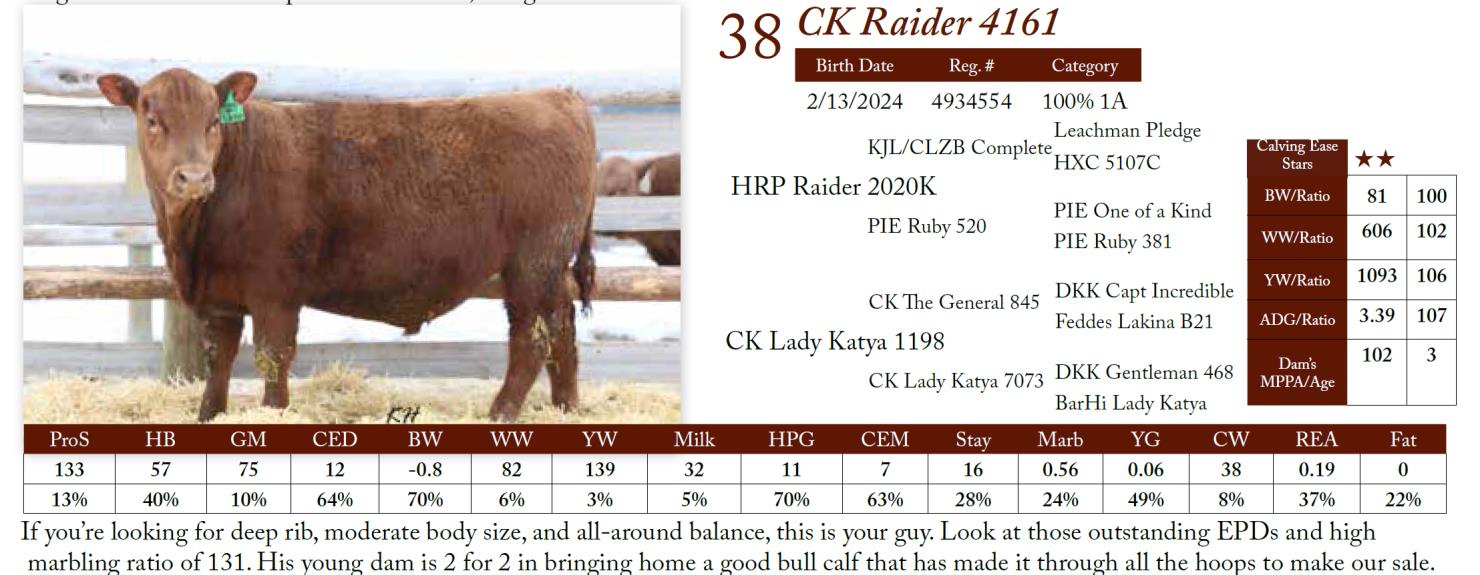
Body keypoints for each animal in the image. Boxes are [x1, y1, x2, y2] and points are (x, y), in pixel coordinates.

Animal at [96, 68, 597, 422]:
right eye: (152, 119)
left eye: (214, 120)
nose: (195, 178)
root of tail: (559, 96)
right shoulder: (220, 298)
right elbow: (218, 361)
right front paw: (208, 416)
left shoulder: (275, 292)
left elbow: (272, 359)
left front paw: (273, 413)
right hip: (549, 268)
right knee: (562, 327)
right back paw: (565, 407)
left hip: (532, 264)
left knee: (531, 339)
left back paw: (500, 414)